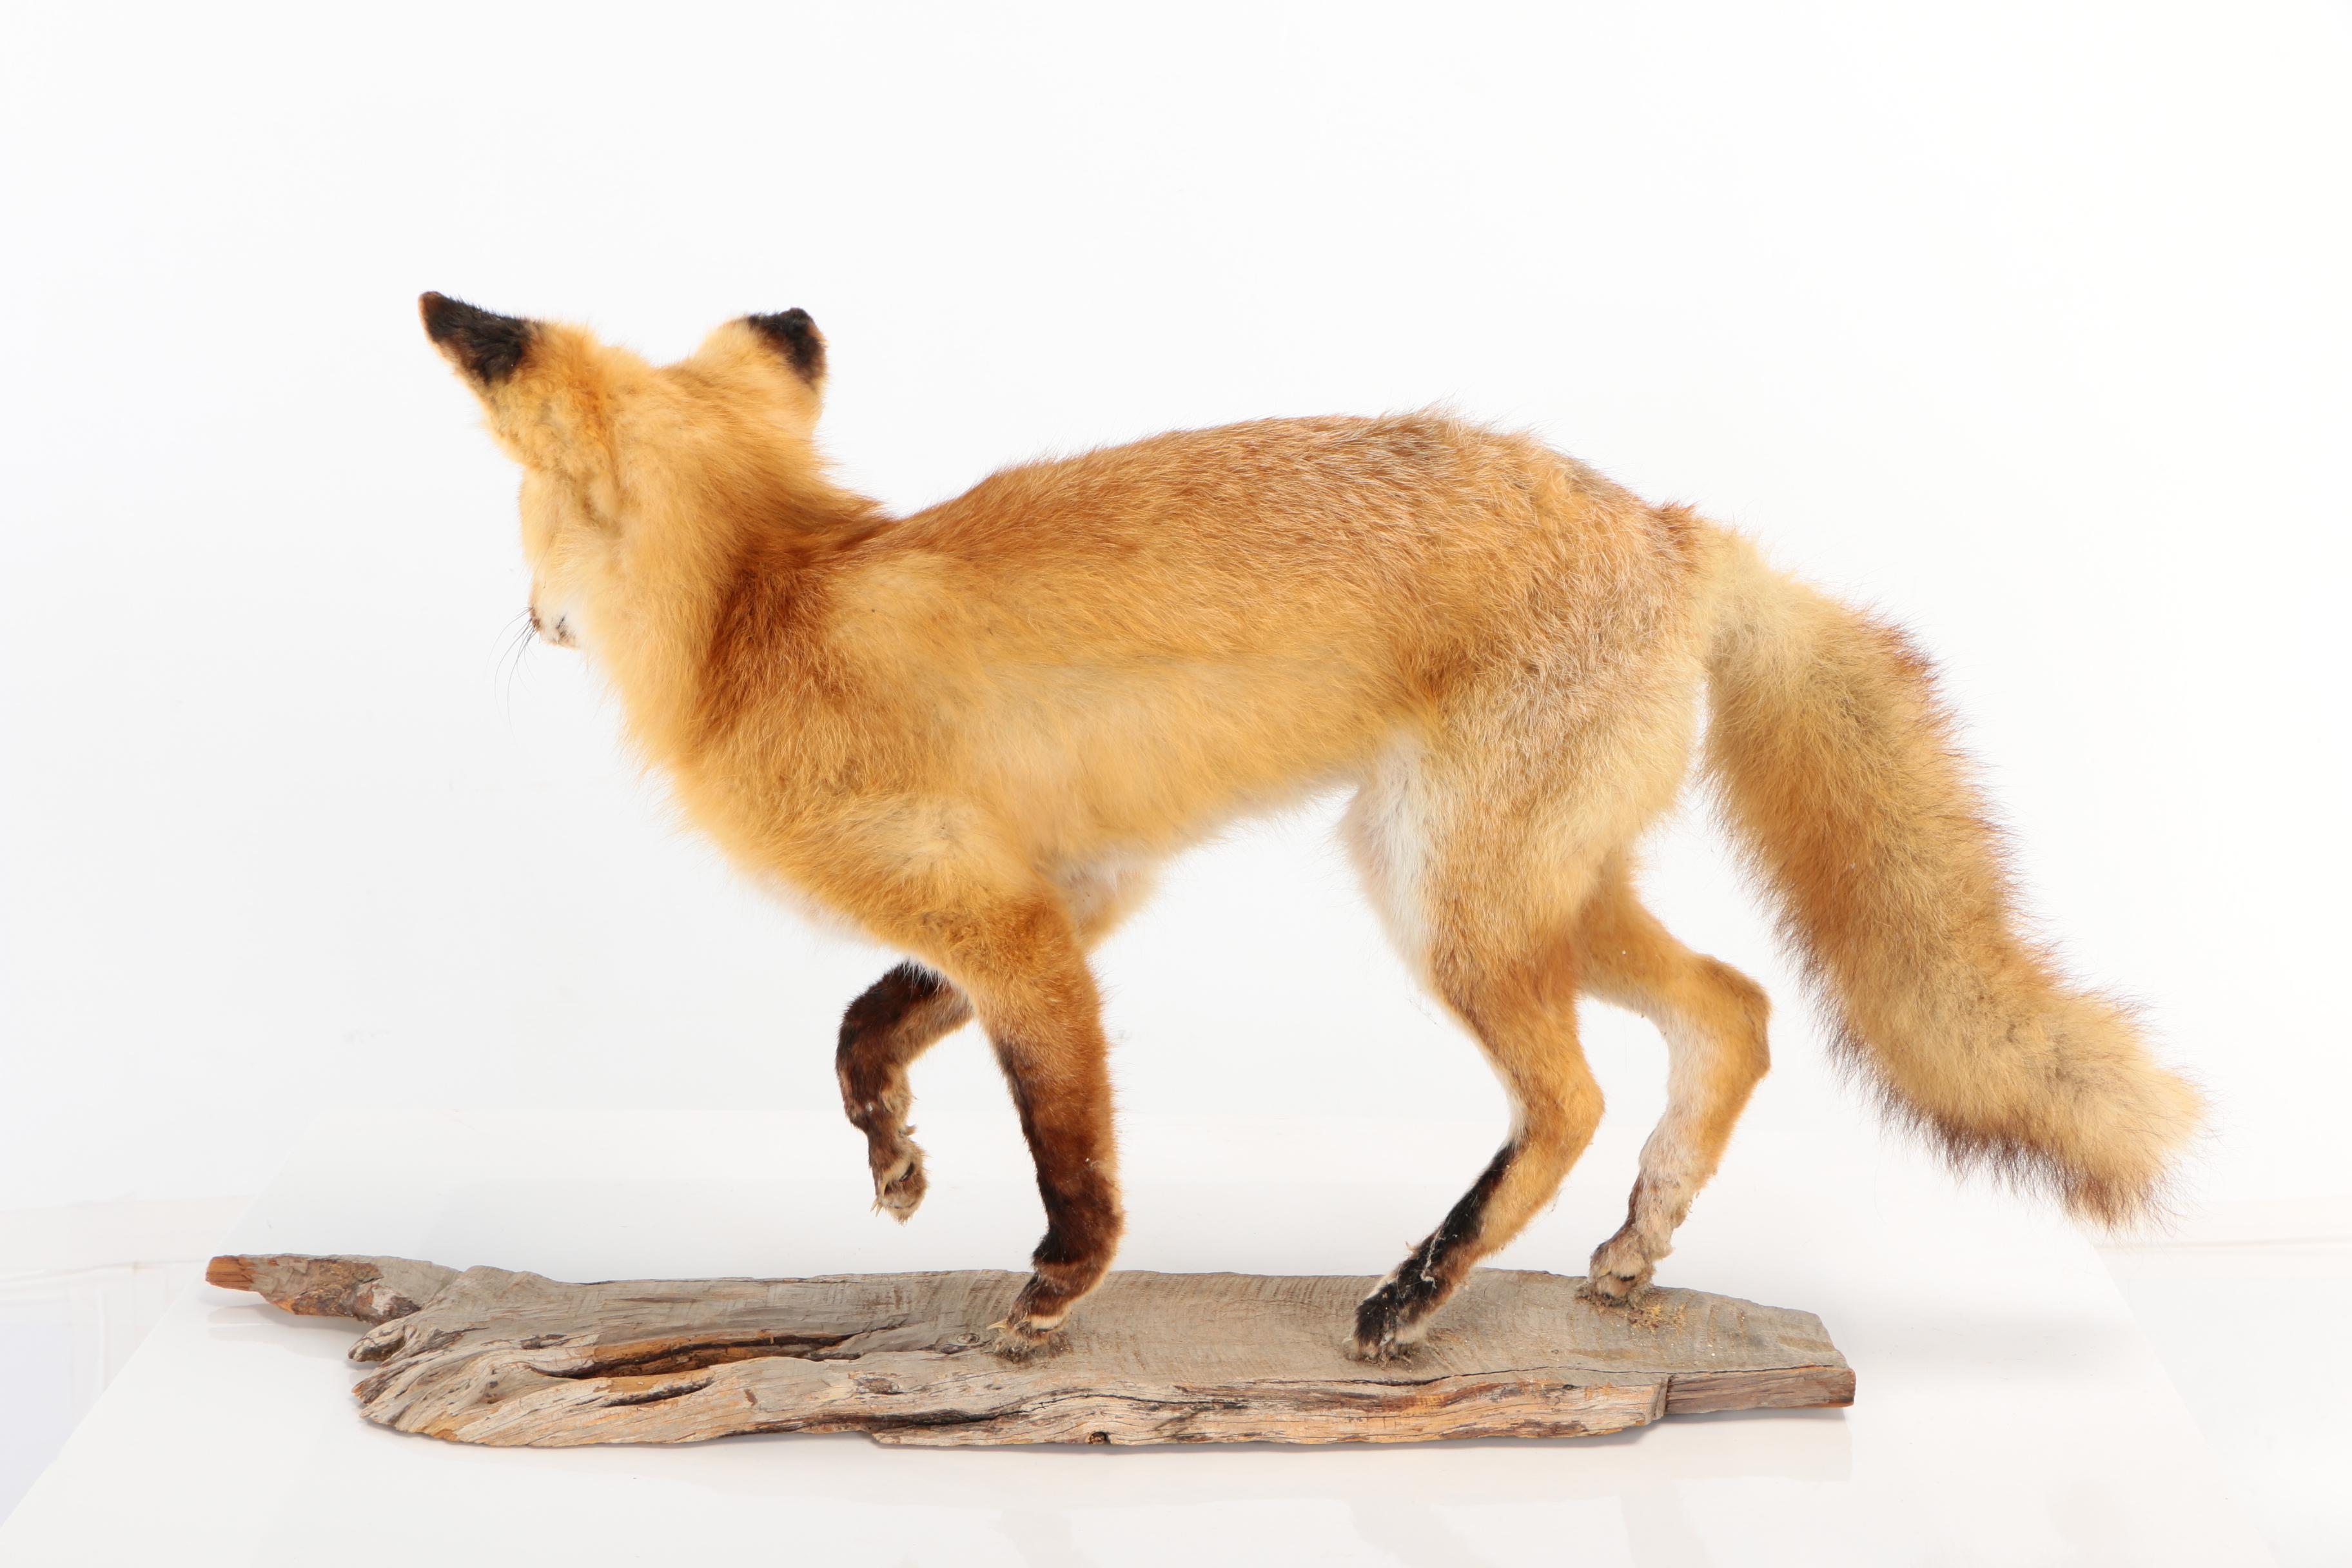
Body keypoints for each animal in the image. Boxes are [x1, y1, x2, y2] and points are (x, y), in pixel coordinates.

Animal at [421, 291, 2203, 1361]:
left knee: (1572, 1093)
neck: (766, 598)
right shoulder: (1077, 881)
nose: (525, 617)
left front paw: (1057, 1285)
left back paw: (1421, 1287)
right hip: (1532, 890)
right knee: (1739, 1008)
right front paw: (890, 1142)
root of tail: (1677, 529)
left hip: (1442, 901)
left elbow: (1066, 1140)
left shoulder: (1018, 924)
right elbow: (871, 1018)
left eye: (518, 519)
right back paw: (1637, 1246)